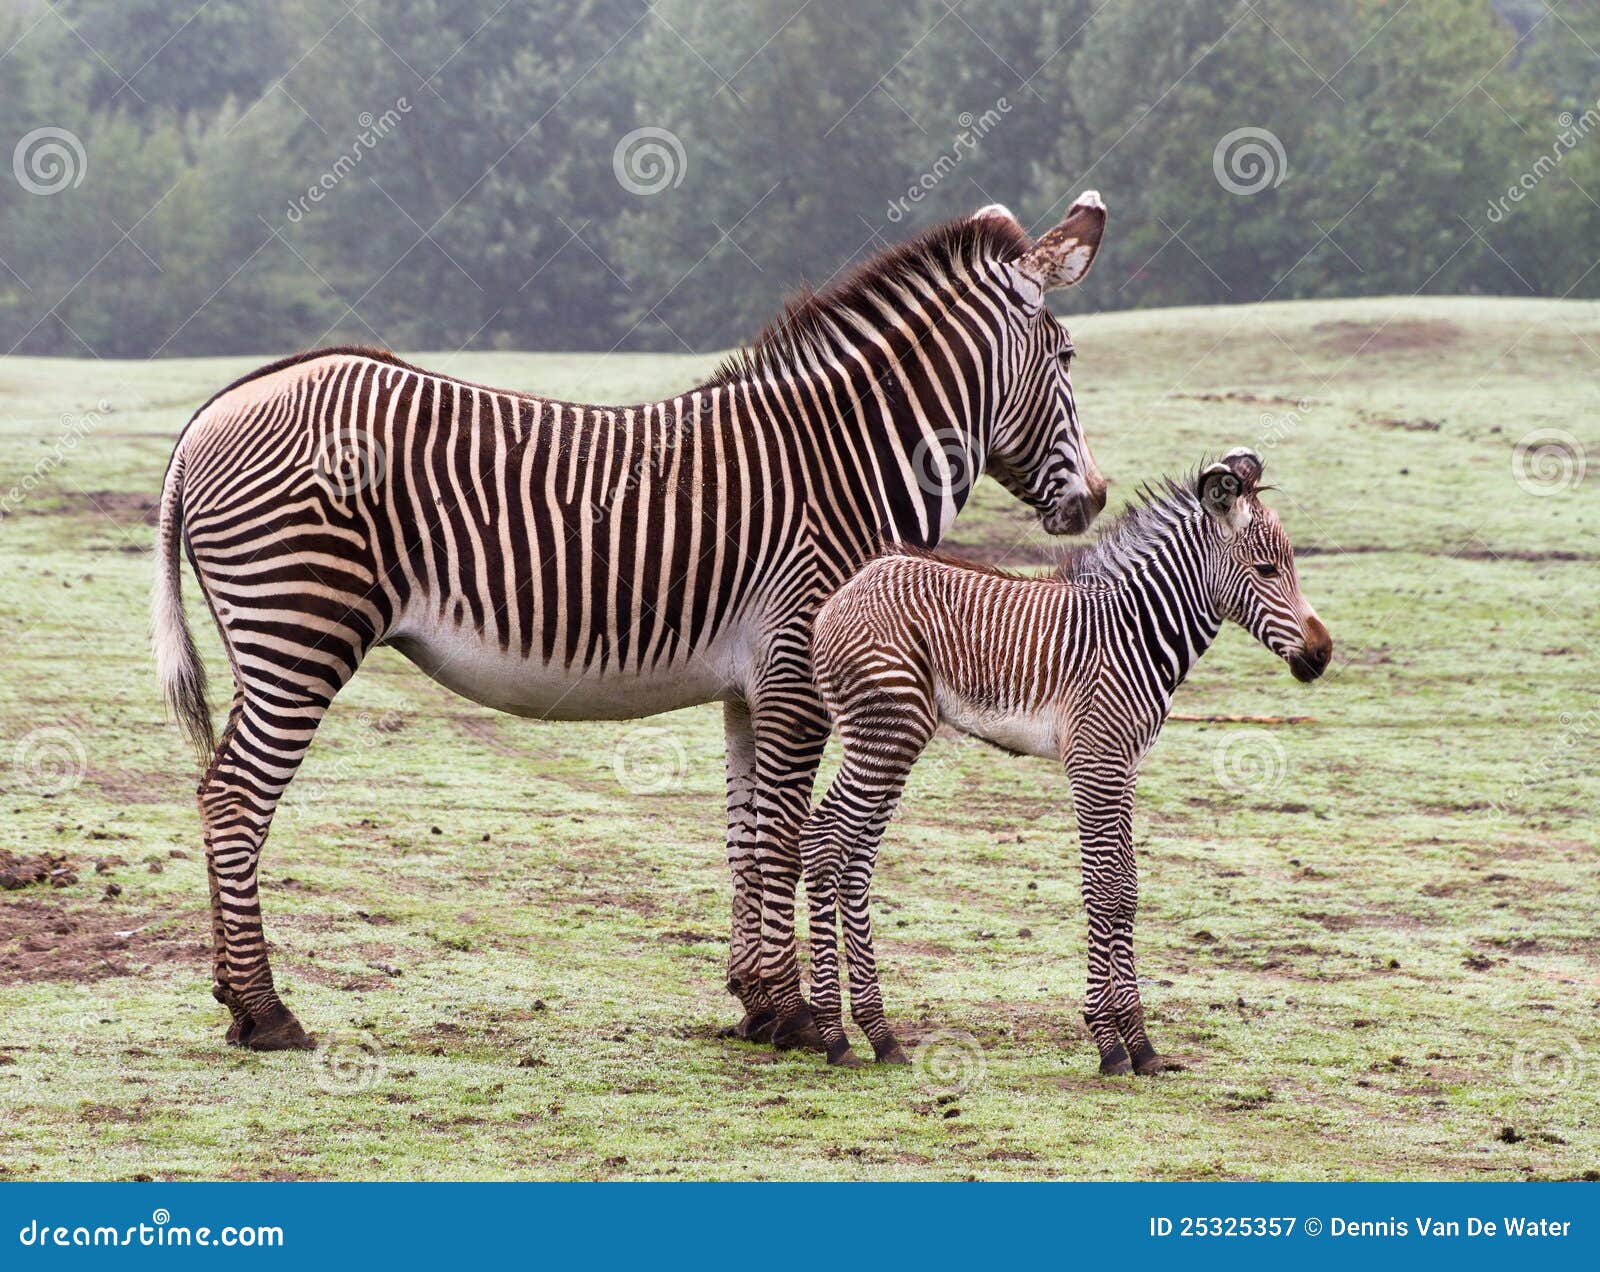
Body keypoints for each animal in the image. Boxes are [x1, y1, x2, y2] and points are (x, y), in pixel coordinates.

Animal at [150, 193, 1112, 1052]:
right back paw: (268, 1012)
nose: (1097, 499)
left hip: (265, 640)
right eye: (1066, 358)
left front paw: (758, 1006)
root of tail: (209, 417)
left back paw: (235, 1002)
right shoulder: (797, 670)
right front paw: (800, 1018)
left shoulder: (753, 687)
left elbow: (745, 834)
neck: (845, 463)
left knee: (216, 791)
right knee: (234, 797)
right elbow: (782, 836)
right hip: (299, 631)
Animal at [800, 448, 1332, 1071]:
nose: (1322, 655)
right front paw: (1111, 1042)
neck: (1136, 633)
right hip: (886, 728)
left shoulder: (1124, 764)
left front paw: (1141, 1044)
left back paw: (880, 1034)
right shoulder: (1094, 760)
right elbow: (1104, 886)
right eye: (1269, 570)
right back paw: (836, 1037)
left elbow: (1126, 886)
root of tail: (843, 593)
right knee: (823, 840)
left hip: (891, 737)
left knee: (854, 857)